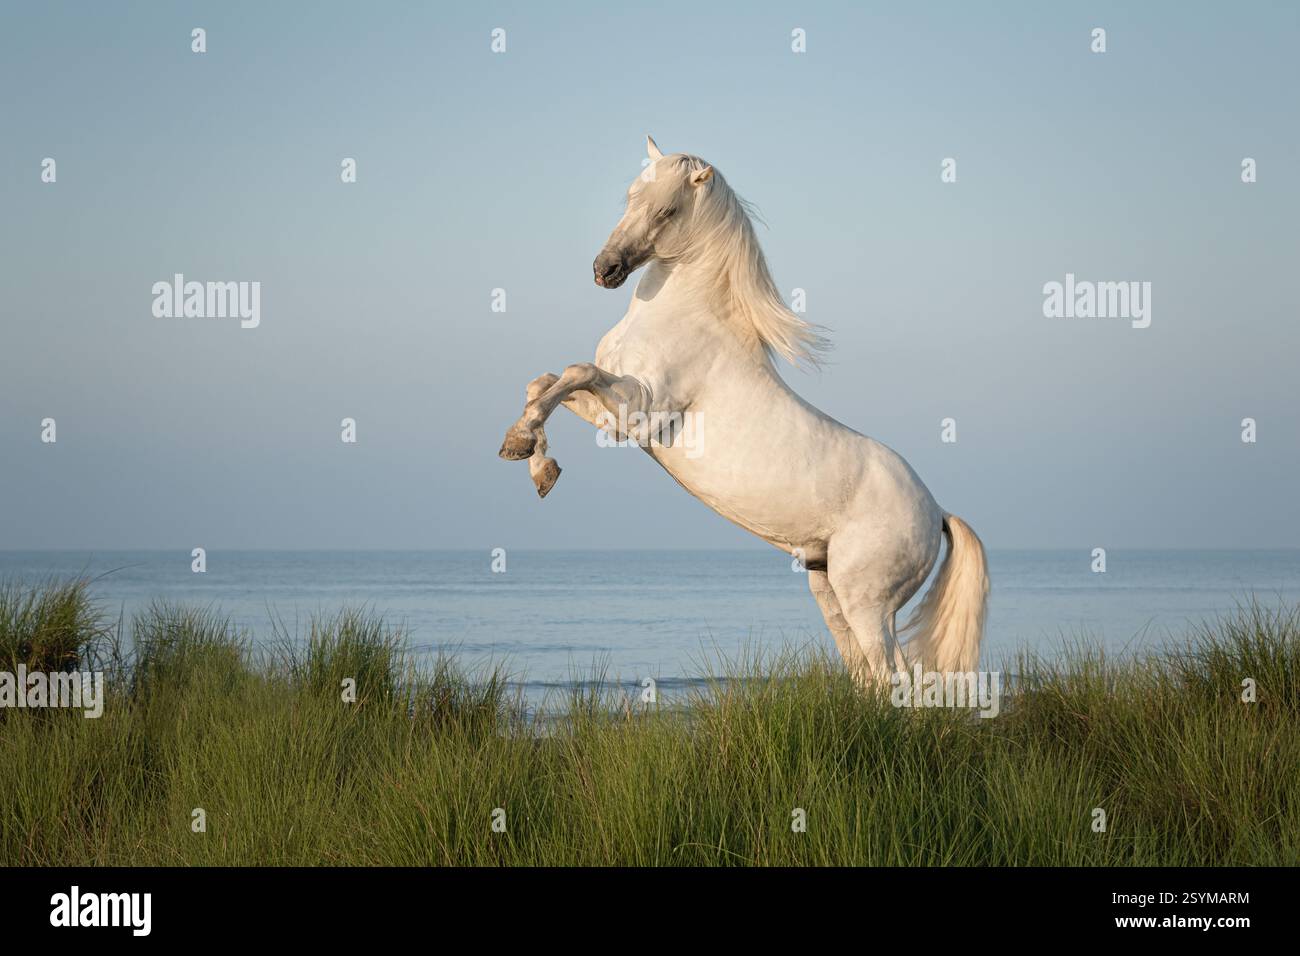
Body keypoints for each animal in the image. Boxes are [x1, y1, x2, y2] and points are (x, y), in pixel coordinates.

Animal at [499, 136, 988, 684]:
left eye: (667, 210)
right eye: (629, 197)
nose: (604, 269)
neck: (682, 317)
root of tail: (936, 512)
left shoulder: (637, 412)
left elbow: (574, 371)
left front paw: (523, 449)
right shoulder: (609, 410)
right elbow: (546, 383)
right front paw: (533, 459)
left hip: (869, 603)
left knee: (892, 676)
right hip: (829, 591)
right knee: (868, 675)